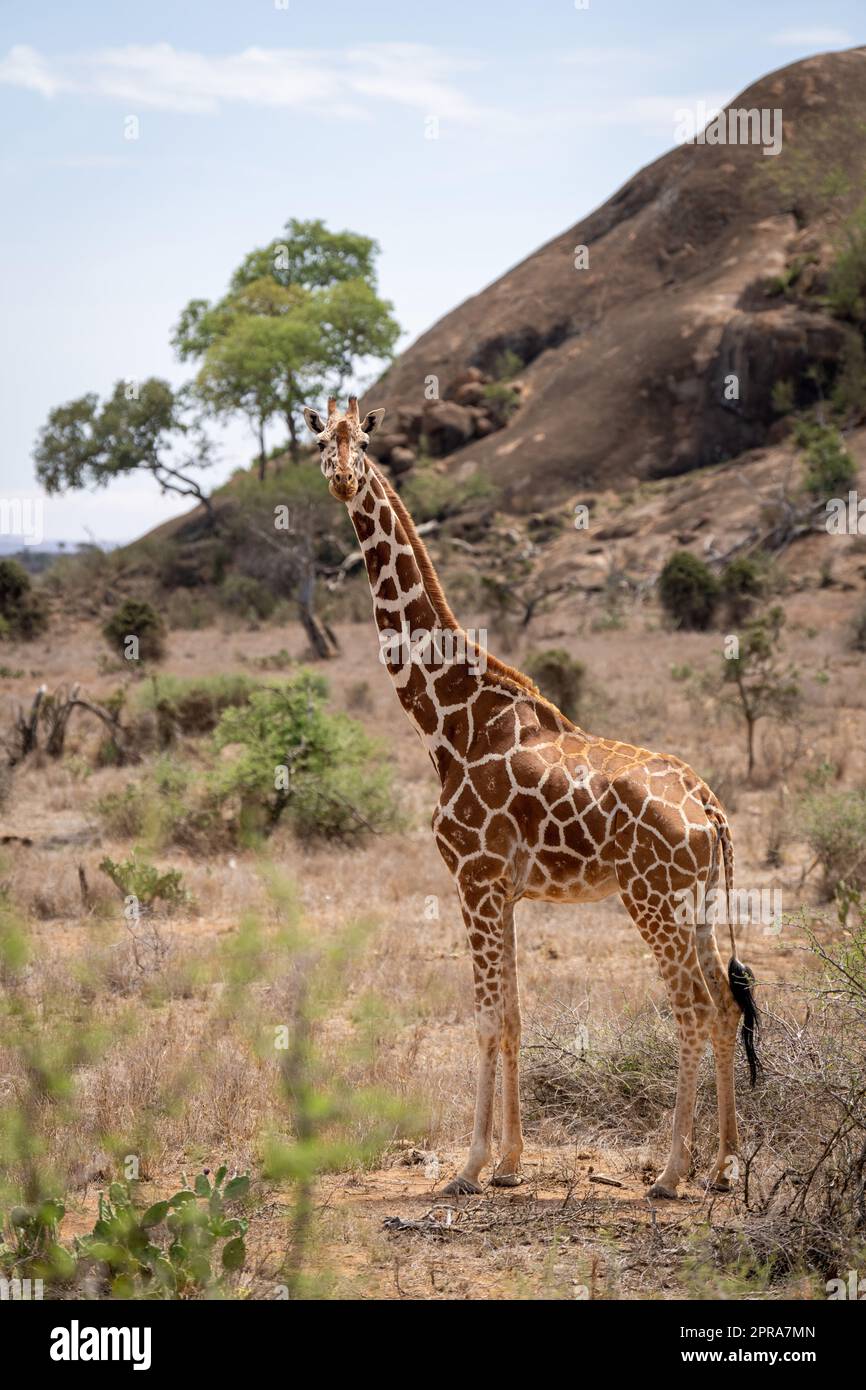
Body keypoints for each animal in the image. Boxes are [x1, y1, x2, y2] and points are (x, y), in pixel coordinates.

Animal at [304, 396, 759, 1199]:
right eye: (321, 440)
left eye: (363, 441)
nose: (343, 478)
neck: (446, 719)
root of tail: (709, 806)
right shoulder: (504, 890)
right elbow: (514, 1015)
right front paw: (512, 1164)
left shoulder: (474, 879)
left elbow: (486, 1018)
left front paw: (468, 1167)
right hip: (698, 900)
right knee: (725, 1006)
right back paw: (724, 1164)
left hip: (652, 899)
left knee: (691, 1009)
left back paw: (672, 1172)